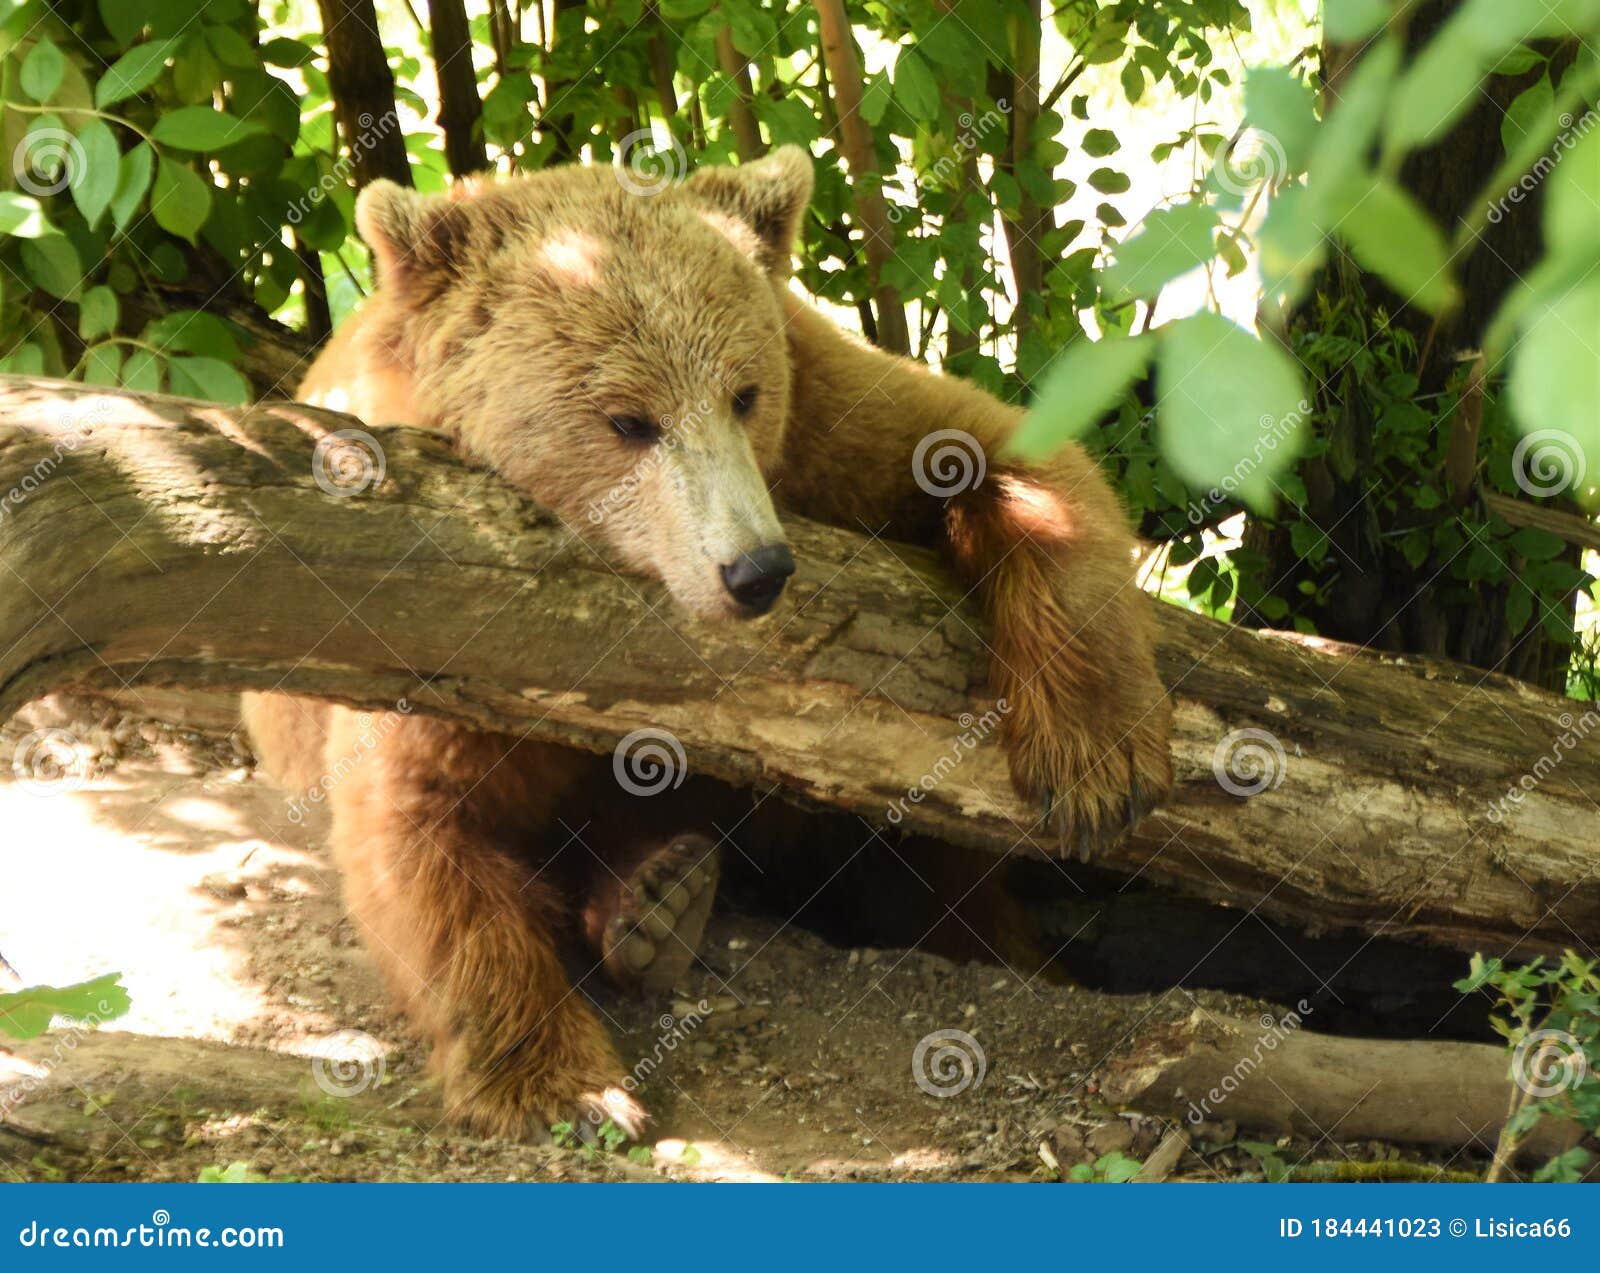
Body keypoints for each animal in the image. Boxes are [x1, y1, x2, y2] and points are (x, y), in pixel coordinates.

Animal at [242, 144, 1171, 1139]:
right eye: (626, 419)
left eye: (745, 393)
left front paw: (1096, 765)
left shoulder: (826, 418)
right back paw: (657, 900)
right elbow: (420, 828)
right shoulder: (424, 626)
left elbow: (1004, 452)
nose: (756, 569)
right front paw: (565, 1083)